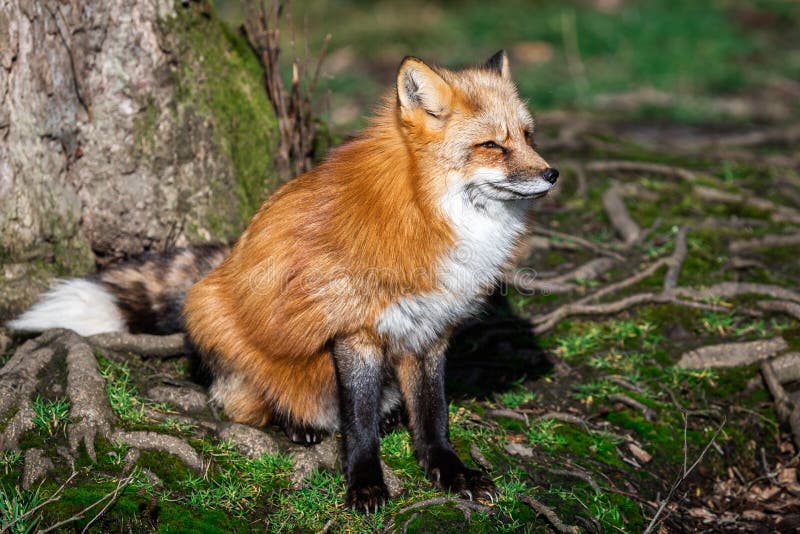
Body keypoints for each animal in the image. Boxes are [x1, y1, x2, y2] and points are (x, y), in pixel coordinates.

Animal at [7, 50, 558, 512]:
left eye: (528, 136)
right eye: (491, 146)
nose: (552, 174)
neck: (424, 216)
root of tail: (223, 264)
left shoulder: (430, 332)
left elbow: (433, 415)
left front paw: (450, 470)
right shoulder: (355, 330)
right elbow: (357, 422)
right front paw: (365, 484)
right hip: (213, 318)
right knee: (241, 403)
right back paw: (299, 426)